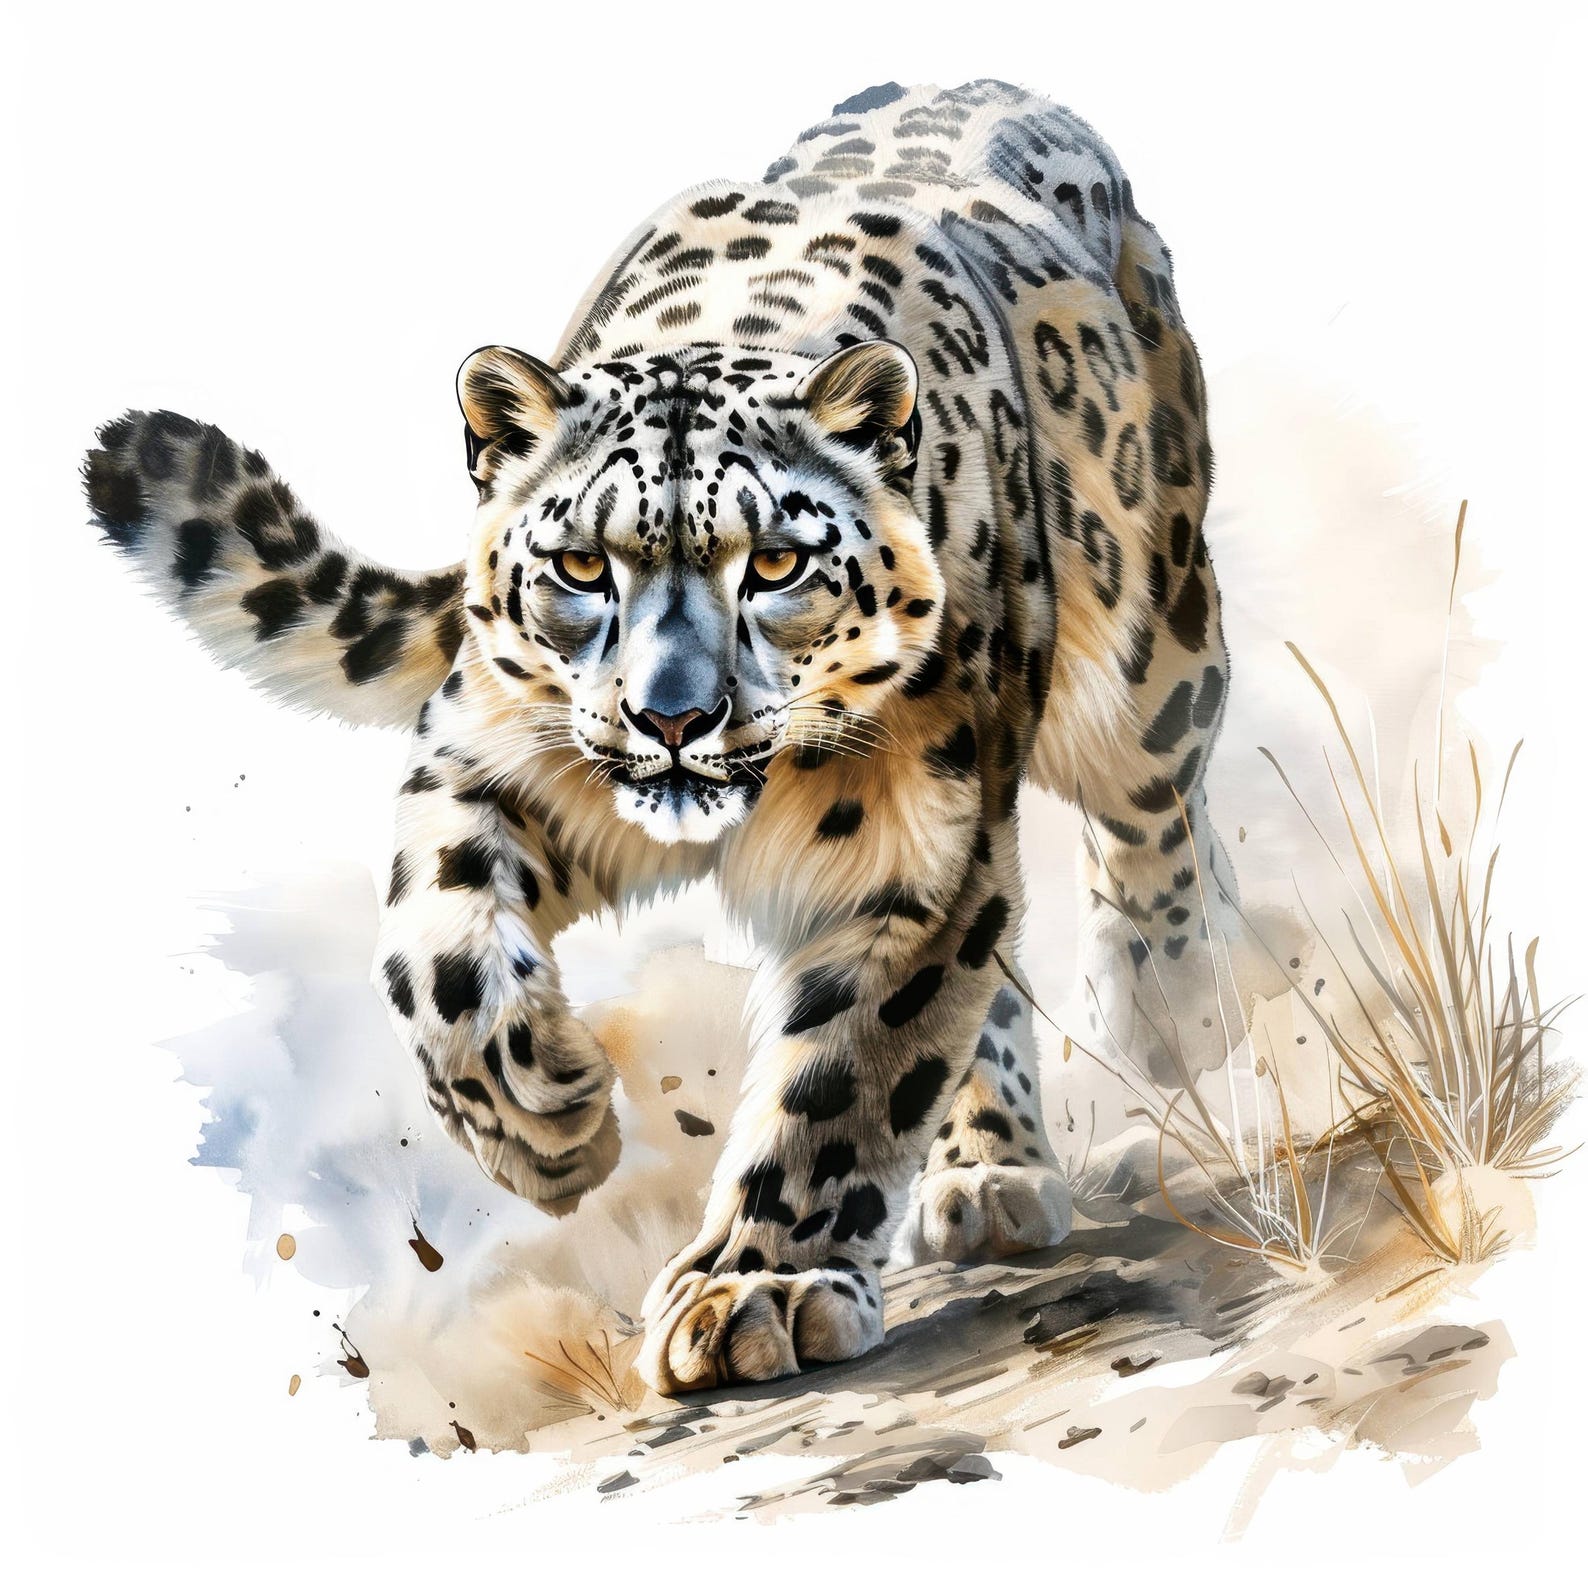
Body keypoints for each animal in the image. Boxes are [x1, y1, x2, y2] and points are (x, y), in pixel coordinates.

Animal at [83, 79, 1239, 1396]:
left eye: (776, 563)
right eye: (582, 565)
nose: (673, 717)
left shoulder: (914, 852)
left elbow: (851, 1066)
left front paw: (755, 1291)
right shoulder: (484, 759)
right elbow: (435, 948)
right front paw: (550, 1121)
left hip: (1156, 641)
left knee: (1151, 811)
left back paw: (1169, 1014)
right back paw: (987, 1167)